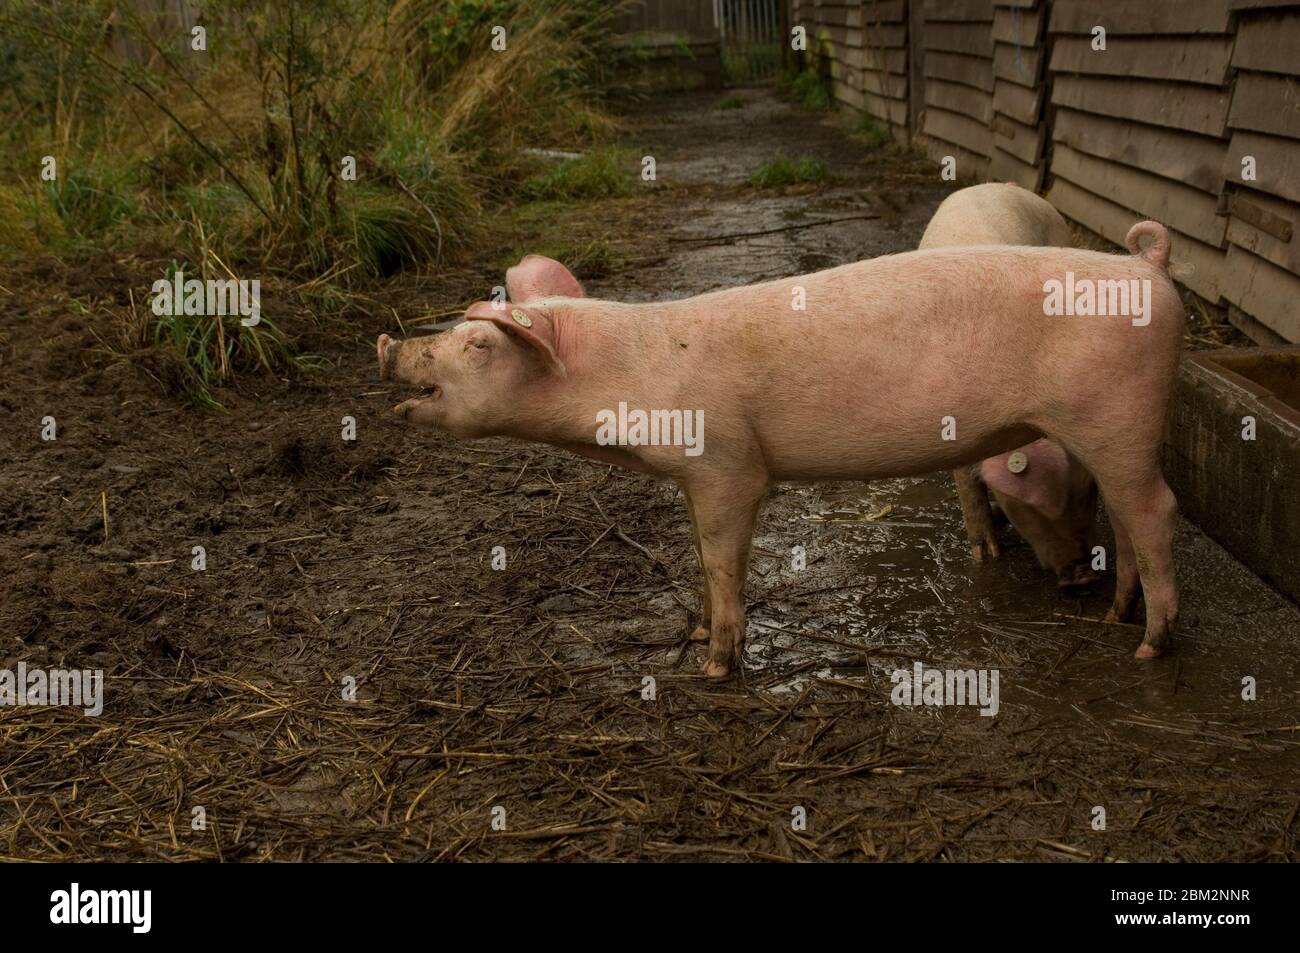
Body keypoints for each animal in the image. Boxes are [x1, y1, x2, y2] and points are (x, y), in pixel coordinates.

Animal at [379, 225, 1183, 677]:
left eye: (479, 345)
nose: (389, 342)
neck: (630, 373)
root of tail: (1150, 269)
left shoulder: (727, 465)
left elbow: (722, 556)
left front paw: (712, 667)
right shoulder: (694, 475)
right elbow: (702, 556)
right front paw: (698, 630)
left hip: (1118, 416)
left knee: (1156, 509)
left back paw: (1149, 648)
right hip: (1105, 434)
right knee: (1126, 518)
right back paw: (1113, 618)